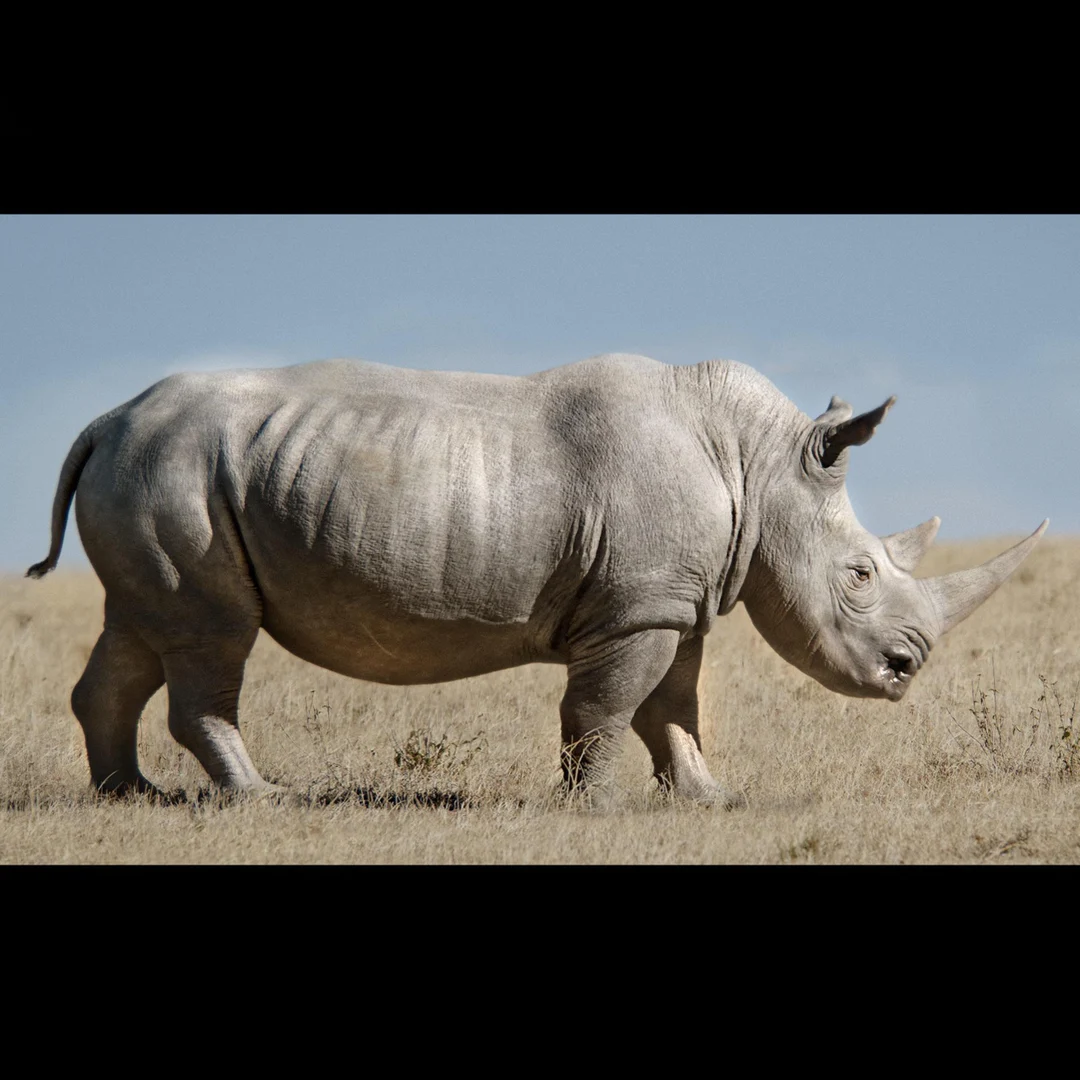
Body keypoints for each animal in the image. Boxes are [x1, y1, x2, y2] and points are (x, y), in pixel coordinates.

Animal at [28, 353, 1046, 805]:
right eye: (861, 573)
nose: (907, 670)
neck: (757, 465)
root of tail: (105, 419)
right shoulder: (639, 607)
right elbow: (607, 707)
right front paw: (589, 807)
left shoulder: (670, 604)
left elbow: (673, 708)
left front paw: (705, 800)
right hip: (173, 472)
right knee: (208, 634)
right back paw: (263, 799)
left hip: (156, 470)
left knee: (141, 628)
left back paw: (130, 795)